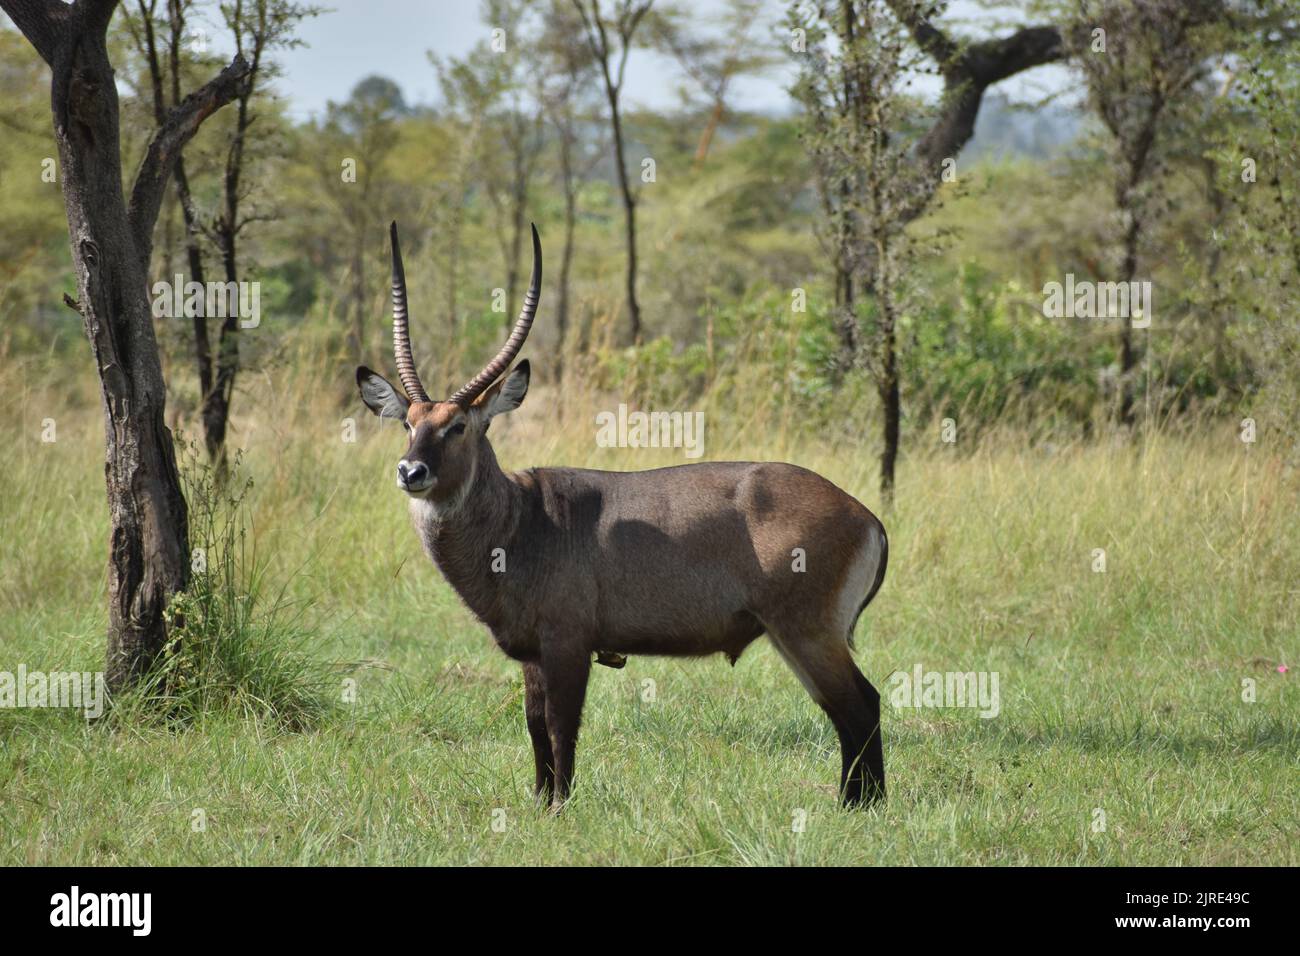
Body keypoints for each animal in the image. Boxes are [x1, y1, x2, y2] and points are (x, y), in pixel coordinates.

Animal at [356, 222, 890, 808]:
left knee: (860, 706)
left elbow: (562, 727)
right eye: (408, 422)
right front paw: (539, 803)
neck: (520, 521)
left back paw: (859, 807)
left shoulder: (568, 645)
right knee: (849, 711)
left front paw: (561, 808)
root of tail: (866, 516)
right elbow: (534, 727)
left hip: (808, 632)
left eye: (458, 427)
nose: (411, 471)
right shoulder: (533, 655)